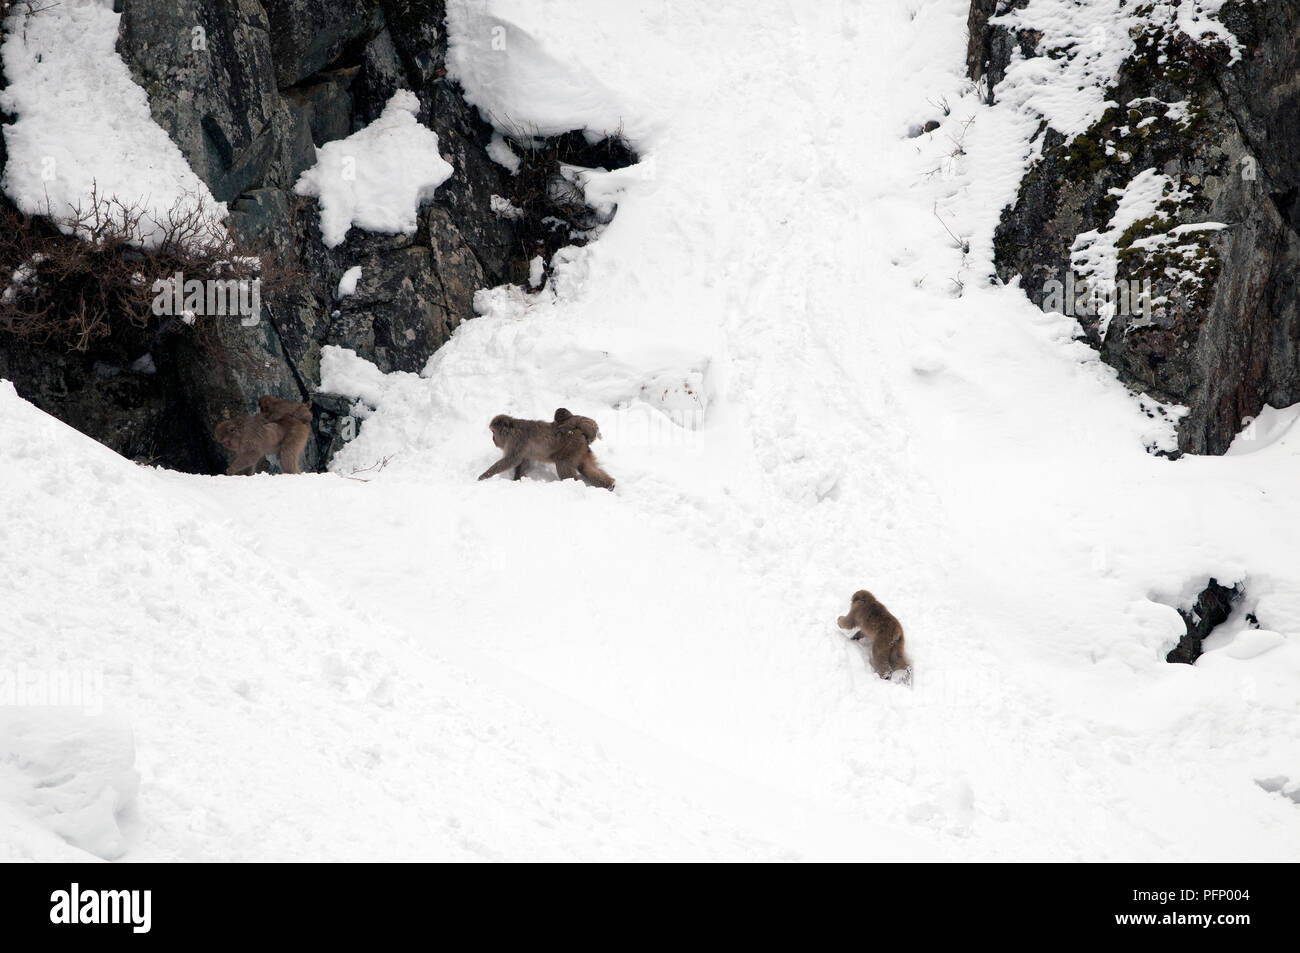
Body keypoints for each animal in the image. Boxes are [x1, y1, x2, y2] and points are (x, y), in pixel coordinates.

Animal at [478, 413, 615, 489]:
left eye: (493, 432)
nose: (493, 439)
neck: (512, 429)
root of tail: (578, 432)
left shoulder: (516, 440)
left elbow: (512, 460)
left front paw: (484, 476)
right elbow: (524, 462)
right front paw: (517, 479)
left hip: (571, 448)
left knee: (563, 466)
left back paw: (572, 484)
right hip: (580, 450)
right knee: (586, 468)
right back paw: (610, 486)